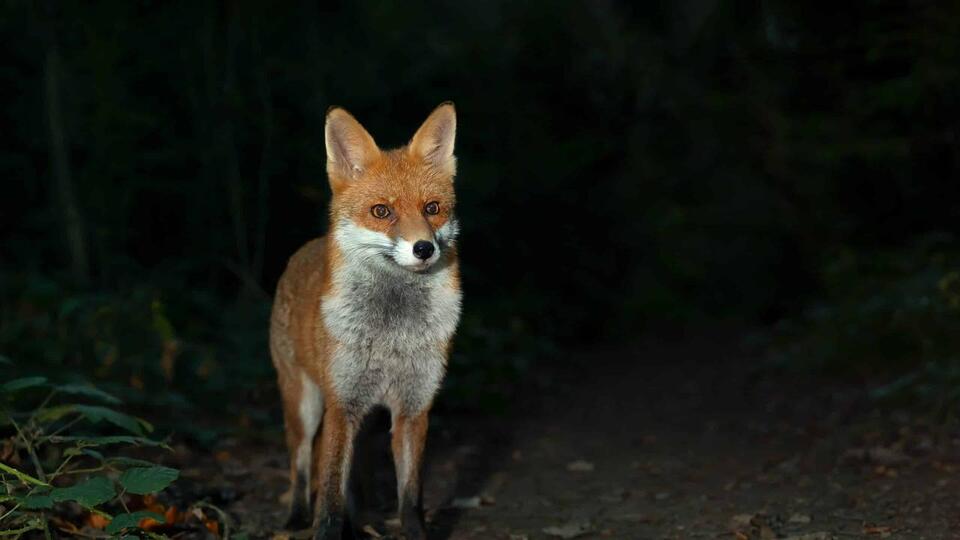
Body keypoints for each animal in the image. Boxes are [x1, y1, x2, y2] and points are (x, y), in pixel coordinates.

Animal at [270, 103, 462, 540]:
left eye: (432, 208)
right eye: (381, 211)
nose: (423, 248)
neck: (393, 332)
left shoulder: (413, 406)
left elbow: (410, 496)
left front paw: (412, 532)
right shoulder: (342, 403)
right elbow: (329, 496)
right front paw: (326, 530)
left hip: (366, 418)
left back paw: (360, 520)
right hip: (305, 403)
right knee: (301, 464)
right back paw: (295, 516)